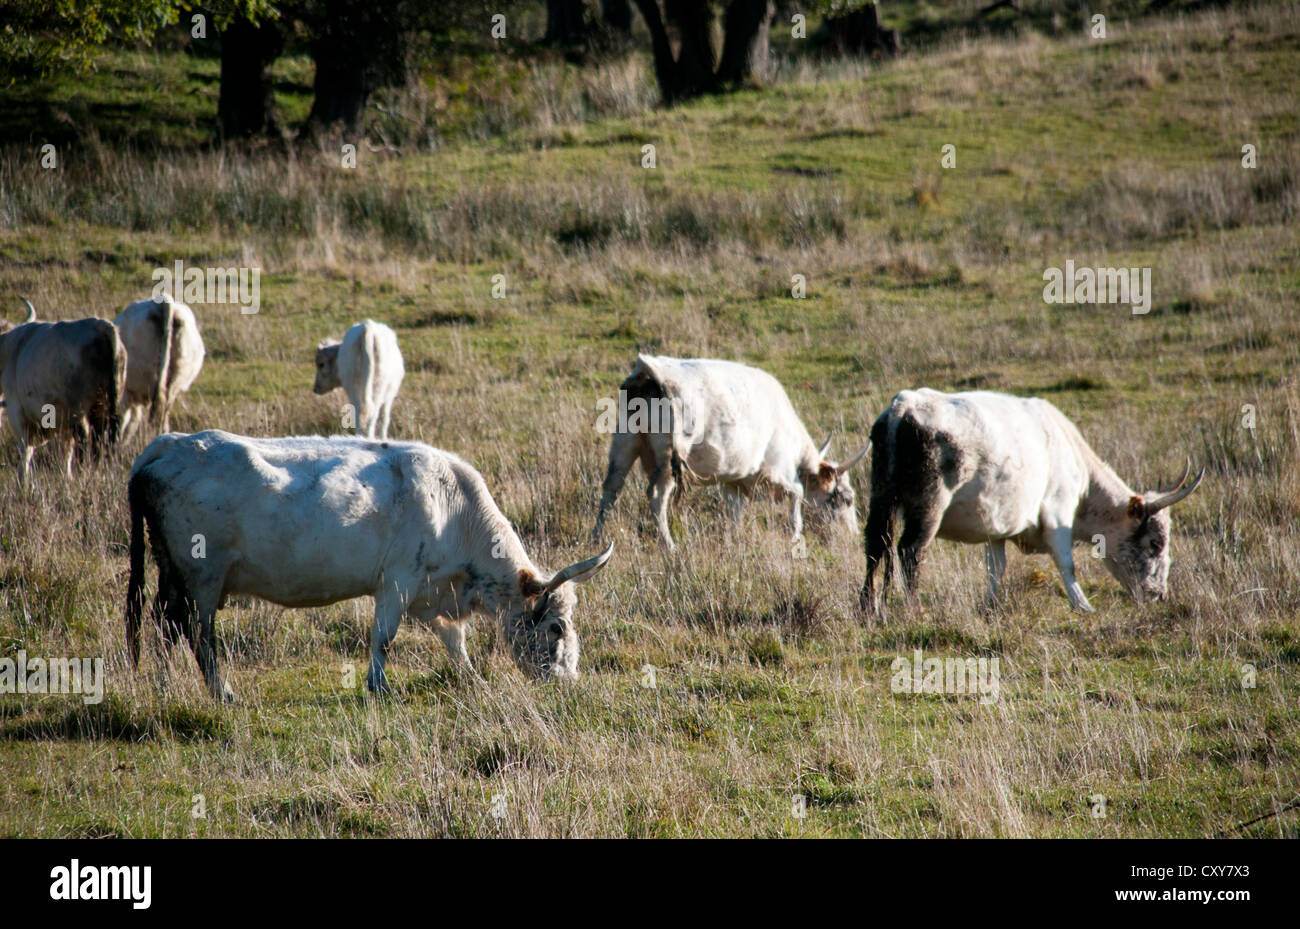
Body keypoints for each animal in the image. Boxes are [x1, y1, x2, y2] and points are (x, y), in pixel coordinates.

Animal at [0, 297, 125, 485]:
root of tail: (102, 327)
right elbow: (66, 453)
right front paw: (66, 478)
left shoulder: (17, 412)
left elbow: (25, 450)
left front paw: (24, 483)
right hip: (106, 408)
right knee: (105, 440)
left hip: (79, 413)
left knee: (84, 442)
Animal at [125, 430, 614, 702]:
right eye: (557, 627)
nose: (567, 681)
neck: (454, 507)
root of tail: (166, 445)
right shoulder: (398, 581)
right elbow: (383, 637)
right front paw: (378, 686)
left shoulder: (428, 593)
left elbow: (453, 640)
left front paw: (471, 676)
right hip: (202, 579)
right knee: (196, 633)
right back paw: (221, 691)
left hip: (172, 573)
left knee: (164, 624)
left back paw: (164, 687)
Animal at [591, 354, 869, 551]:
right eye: (846, 499)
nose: (853, 536)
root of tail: (651, 369)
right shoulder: (778, 470)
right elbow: (796, 501)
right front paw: (795, 539)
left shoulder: (733, 481)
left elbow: (734, 513)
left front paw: (731, 541)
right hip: (671, 456)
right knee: (657, 496)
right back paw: (669, 546)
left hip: (624, 442)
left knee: (611, 488)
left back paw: (596, 538)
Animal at [860, 388, 1204, 615]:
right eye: (1155, 543)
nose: (1159, 595)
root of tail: (904, 406)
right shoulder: (1058, 513)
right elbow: (1066, 562)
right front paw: (1083, 605)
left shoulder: (996, 527)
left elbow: (995, 567)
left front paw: (989, 605)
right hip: (929, 502)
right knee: (910, 549)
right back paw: (913, 608)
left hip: (881, 496)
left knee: (876, 544)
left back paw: (869, 608)